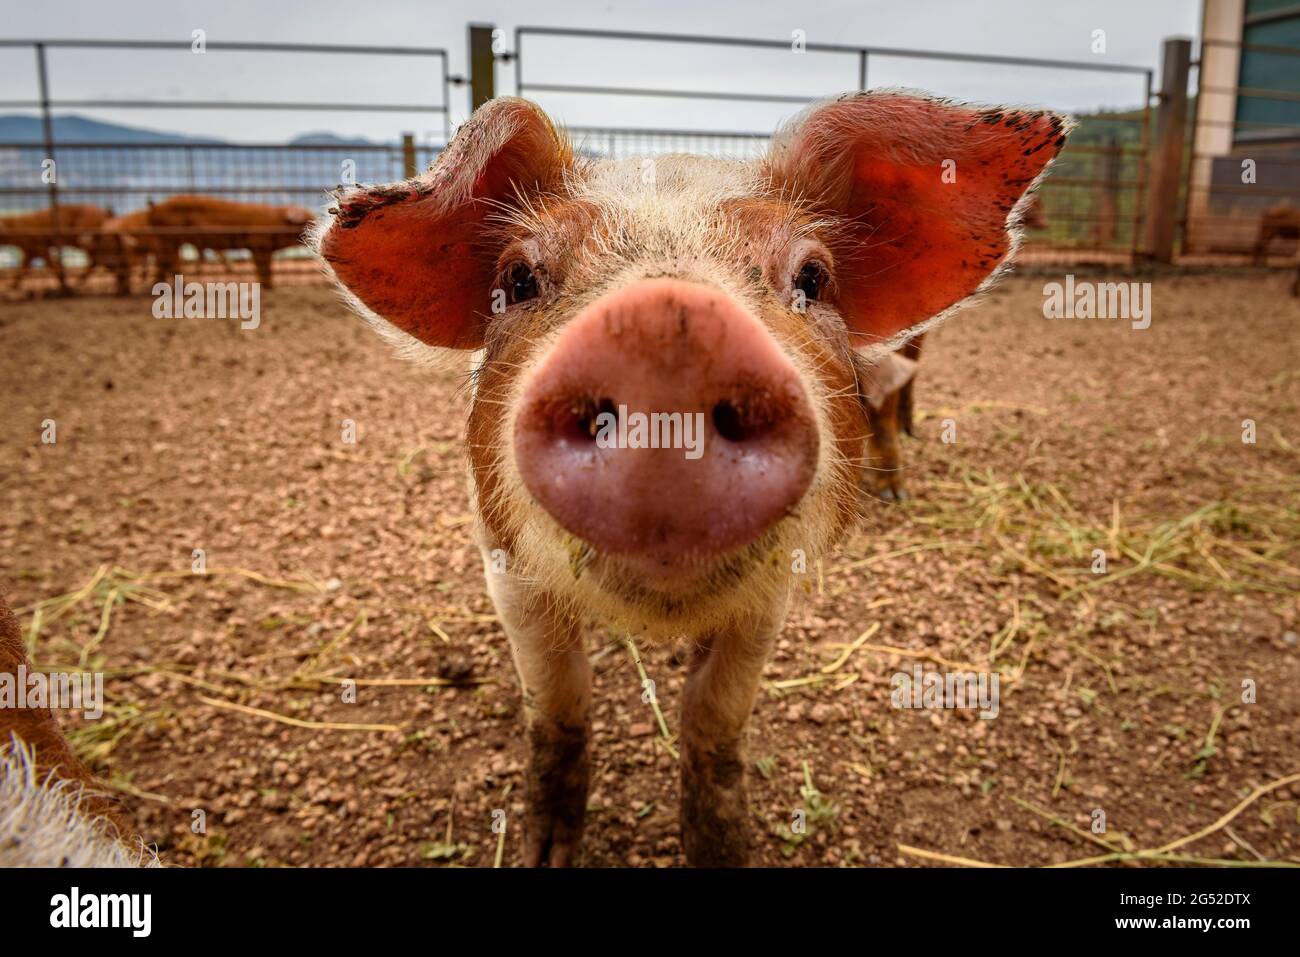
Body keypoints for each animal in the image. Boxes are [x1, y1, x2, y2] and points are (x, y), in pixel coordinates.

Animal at [147, 195, 315, 289]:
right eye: (308, 220)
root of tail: (156, 208)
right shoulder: (259, 245)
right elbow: (264, 270)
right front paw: (268, 287)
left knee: (163, 262)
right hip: (169, 239)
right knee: (168, 262)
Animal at [317, 92, 1068, 866]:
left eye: (812, 278)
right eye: (519, 279)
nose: (668, 325)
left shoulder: (771, 593)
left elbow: (713, 719)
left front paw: (723, 849)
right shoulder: (505, 563)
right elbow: (557, 708)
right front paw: (546, 852)